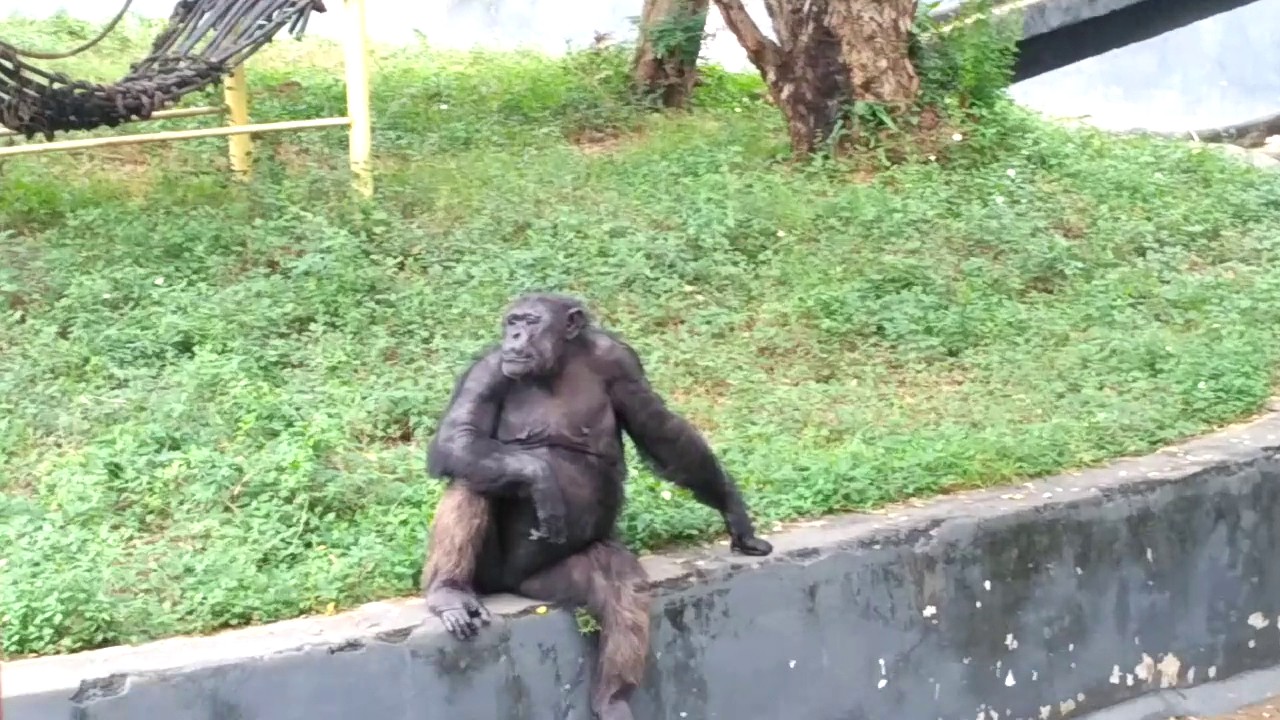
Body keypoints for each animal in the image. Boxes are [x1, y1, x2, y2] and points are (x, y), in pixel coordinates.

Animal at [419, 292, 773, 720]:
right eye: (511, 321)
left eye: (531, 321)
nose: (515, 335)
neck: (558, 363)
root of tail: (509, 585)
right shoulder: (485, 372)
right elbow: (459, 437)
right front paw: (541, 479)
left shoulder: (621, 362)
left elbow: (662, 432)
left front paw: (734, 513)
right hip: (488, 574)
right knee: (472, 480)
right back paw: (449, 592)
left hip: (548, 578)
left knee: (620, 583)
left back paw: (612, 699)